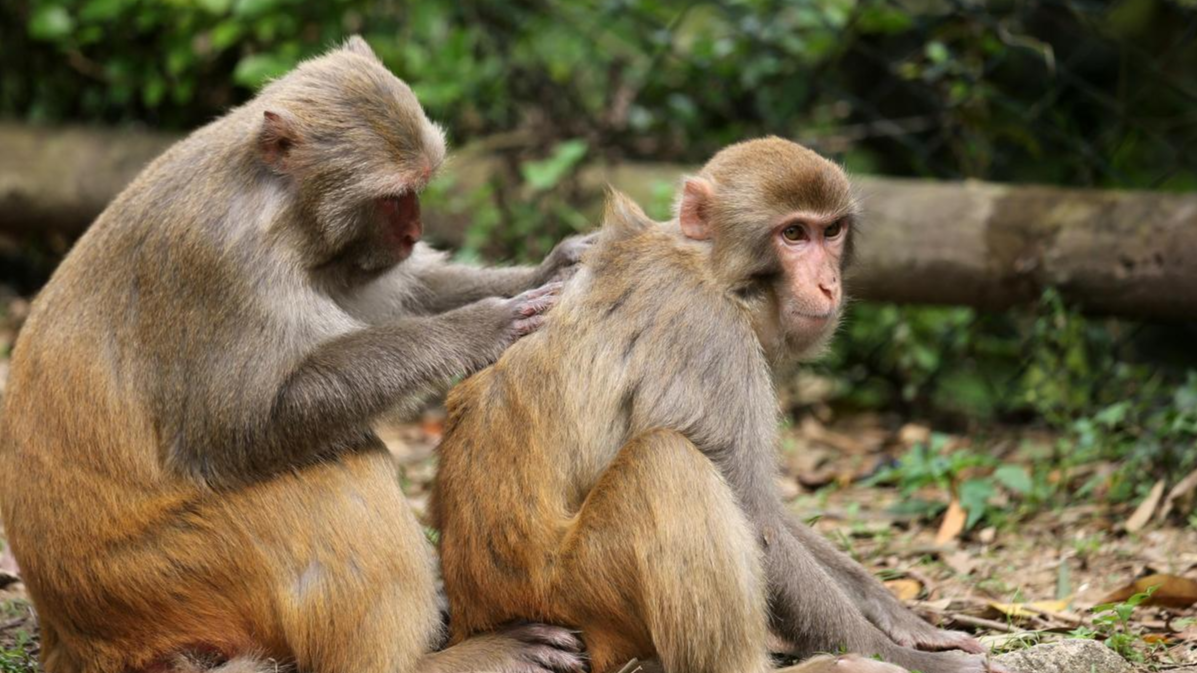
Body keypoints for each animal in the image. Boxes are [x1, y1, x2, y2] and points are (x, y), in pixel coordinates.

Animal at [0, 37, 590, 673]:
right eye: (393, 198)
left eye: (421, 186)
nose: (413, 232)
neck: (278, 210)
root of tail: (76, 638)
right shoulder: (218, 262)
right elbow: (241, 426)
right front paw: (477, 328)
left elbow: (403, 290)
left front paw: (554, 266)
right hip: (167, 575)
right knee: (337, 463)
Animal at [431, 137, 1001, 673]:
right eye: (794, 234)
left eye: (831, 231)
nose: (828, 283)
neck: (709, 267)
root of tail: (475, 615)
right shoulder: (711, 335)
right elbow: (753, 512)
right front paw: (907, 657)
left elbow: (766, 513)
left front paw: (904, 620)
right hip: (575, 597)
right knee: (665, 461)